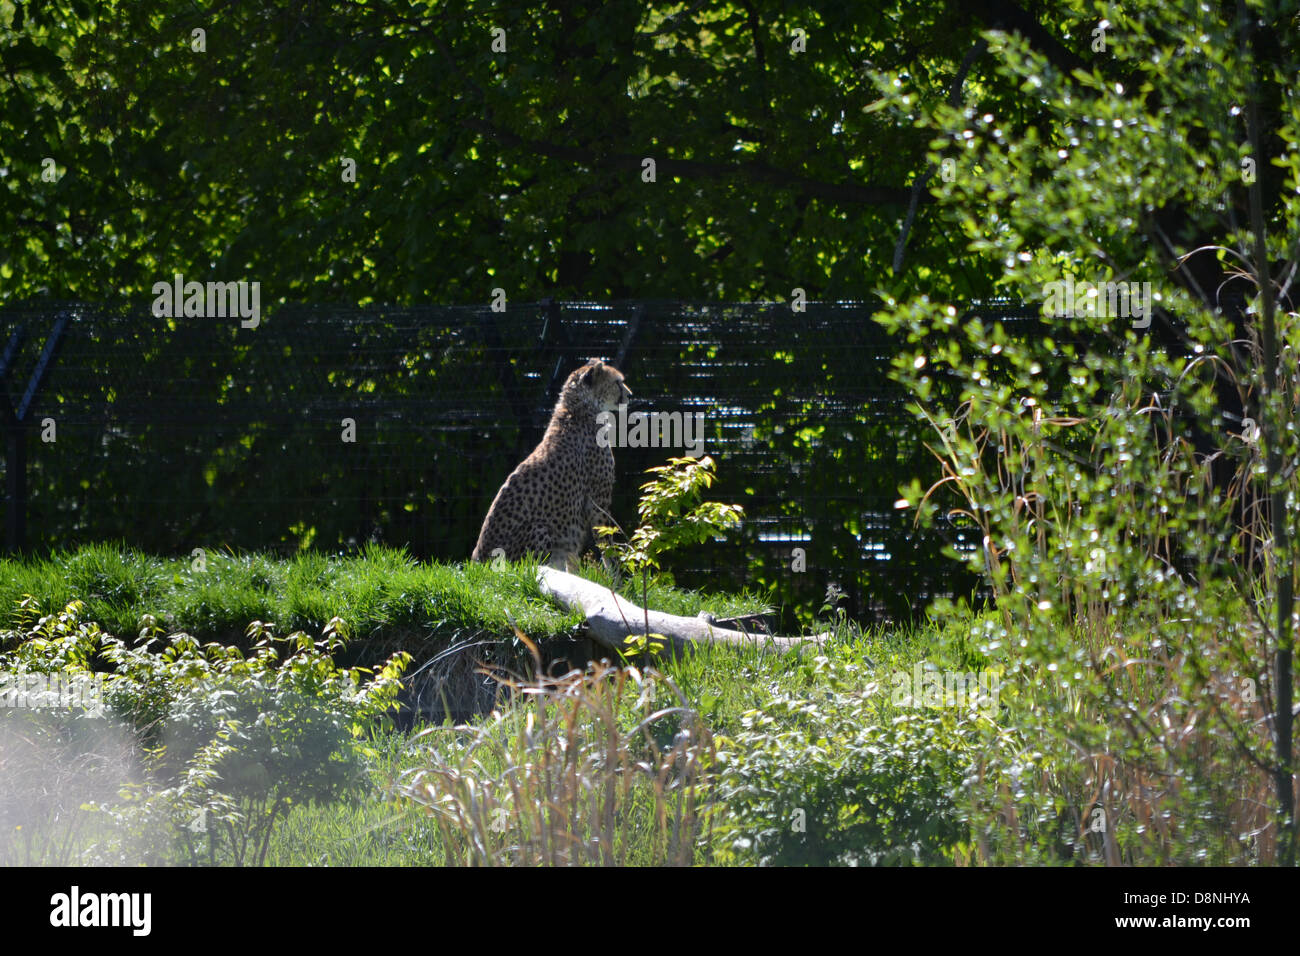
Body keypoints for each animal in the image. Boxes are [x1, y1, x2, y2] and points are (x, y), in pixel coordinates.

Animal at [471, 358, 632, 572]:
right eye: (617, 382)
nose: (630, 395)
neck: (579, 410)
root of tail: (478, 563)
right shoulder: (598, 501)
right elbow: (606, 543)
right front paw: (617, 578)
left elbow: (574, 563)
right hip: (539, 529)